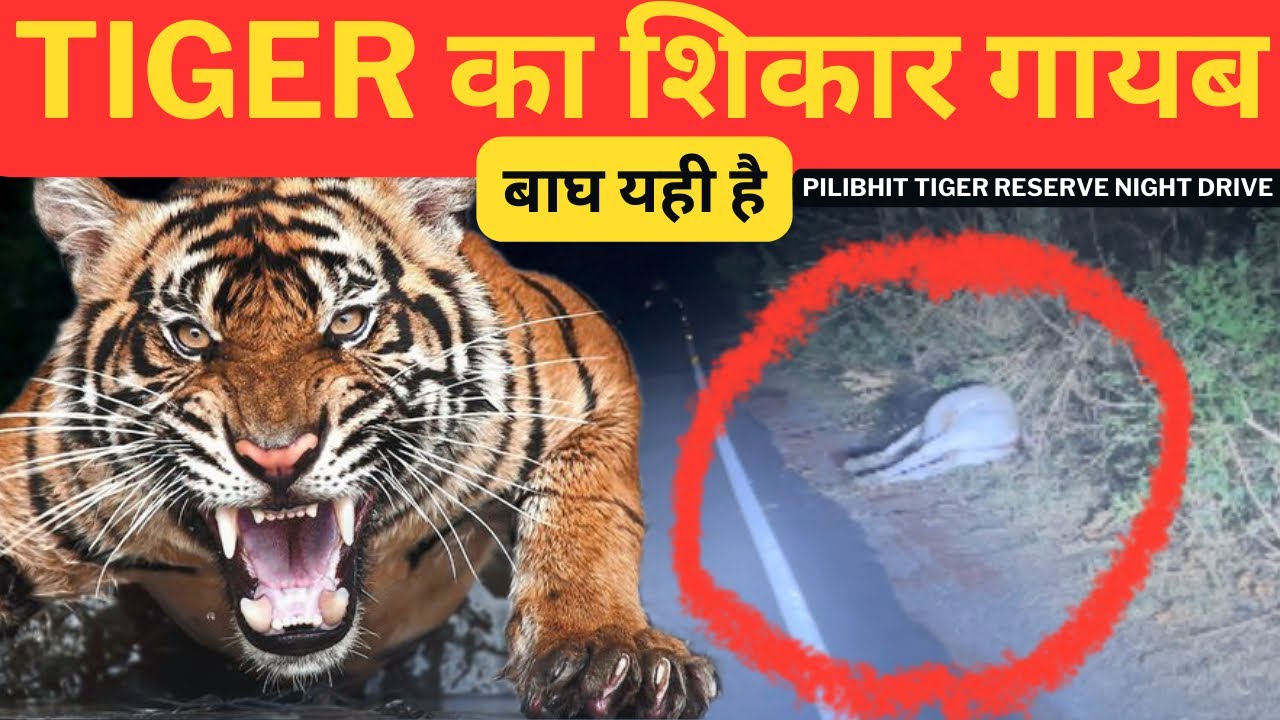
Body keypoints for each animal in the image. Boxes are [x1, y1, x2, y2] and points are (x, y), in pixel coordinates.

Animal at [0, 177, 718, 719]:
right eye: (191, 336)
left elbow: (589, 513)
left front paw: (611, 654)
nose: (278, 456)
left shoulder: (588, 368)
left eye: (347, 321)